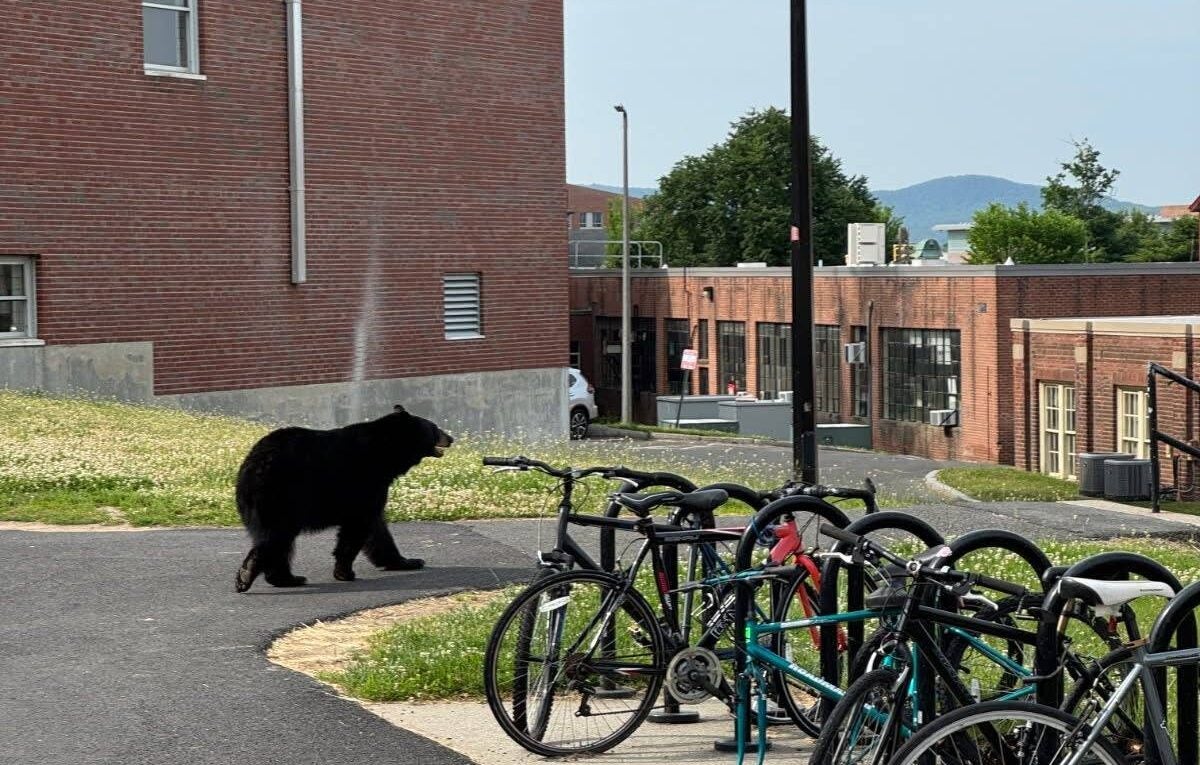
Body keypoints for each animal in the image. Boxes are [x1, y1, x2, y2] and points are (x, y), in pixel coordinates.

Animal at [234, 404, 453, 593]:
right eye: (435, 428)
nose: (451, 438)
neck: (385, 453)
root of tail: (253, 464)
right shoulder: (363, 482)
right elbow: (358, 526)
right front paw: (344, 572)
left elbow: (378, 529)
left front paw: (407, 561)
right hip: (281, 497)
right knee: (276, 537)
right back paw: (253, 574)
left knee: (279, 542)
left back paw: (286, 578)